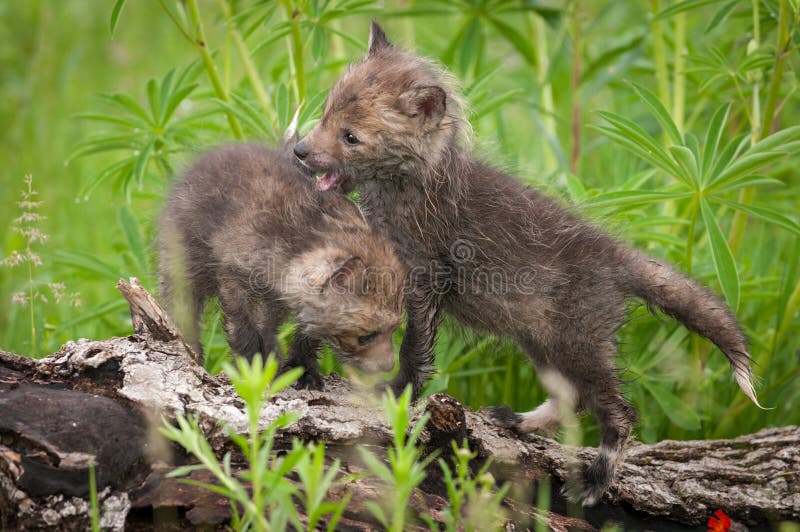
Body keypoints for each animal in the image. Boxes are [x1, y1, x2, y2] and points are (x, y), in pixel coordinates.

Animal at [158, 143, 405, 387]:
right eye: (365, 336)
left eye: (394, 328)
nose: (388, 367)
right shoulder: (233, 276)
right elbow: (242, 330)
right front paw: (252, 372)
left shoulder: (282, 294)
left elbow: (297, 332)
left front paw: (300, 369)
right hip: (183, 264)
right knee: (180, 308)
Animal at [293, 22, 763, 505]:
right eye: (325, 112)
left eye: (351, 136)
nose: (299, 151)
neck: (408, 185)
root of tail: (617, 254)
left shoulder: (426, 277)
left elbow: (414, 347)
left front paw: (400, 390)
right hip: (540, 338)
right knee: (571, 397)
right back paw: (518, 422)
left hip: (578, 343)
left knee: (621, 413)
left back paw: (595, 481)